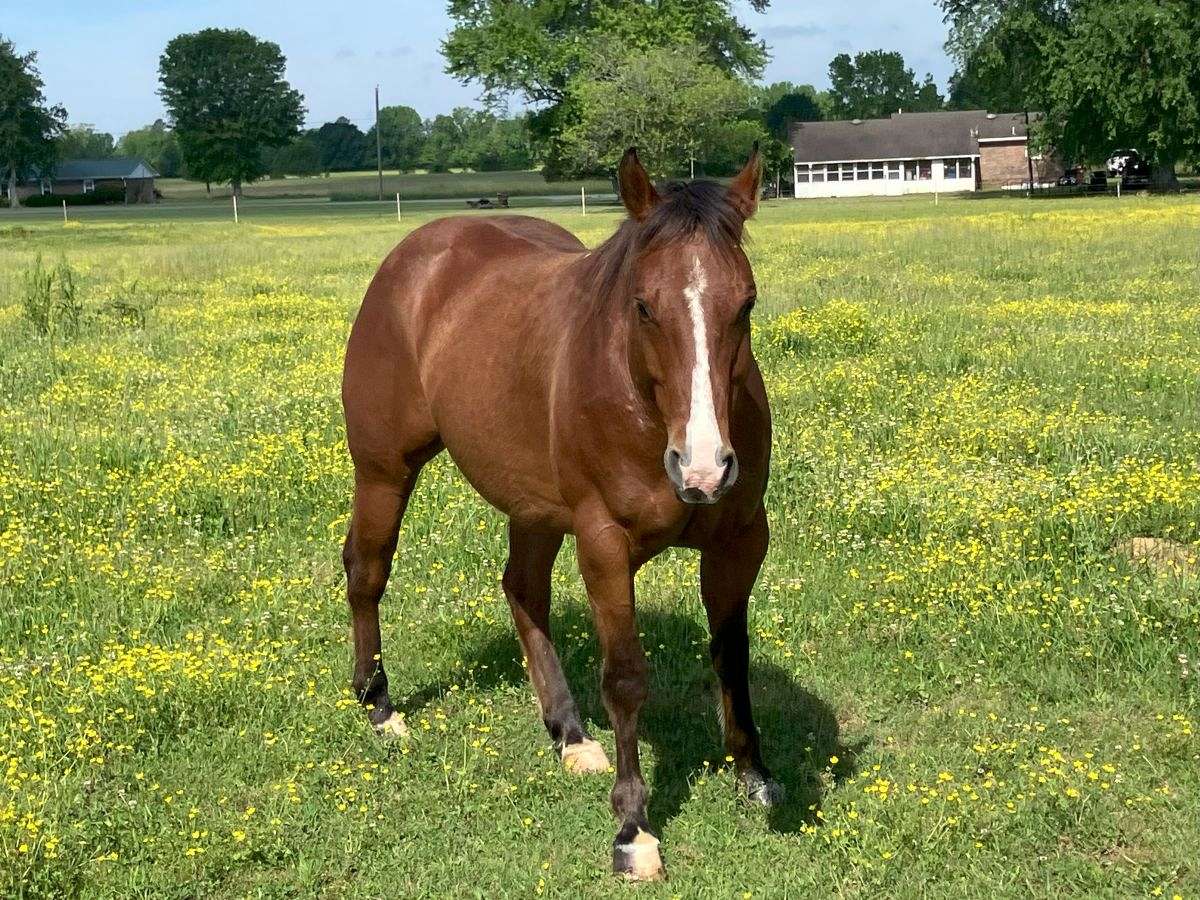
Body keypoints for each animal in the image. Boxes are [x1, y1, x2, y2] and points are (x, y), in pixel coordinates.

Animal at [341, 146, 779, 880]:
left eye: (745, 302)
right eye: (643, 305)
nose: (703, 468)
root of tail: (416, 253)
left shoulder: (741, 541)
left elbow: (733, 654)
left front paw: (754, 774)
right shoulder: (602, 542)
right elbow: (625, 678)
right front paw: (634, 830)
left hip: (535, 507)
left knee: (523, 589)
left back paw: (569, 734)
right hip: (384, 473)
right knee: (366, 571)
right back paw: (380, 708)